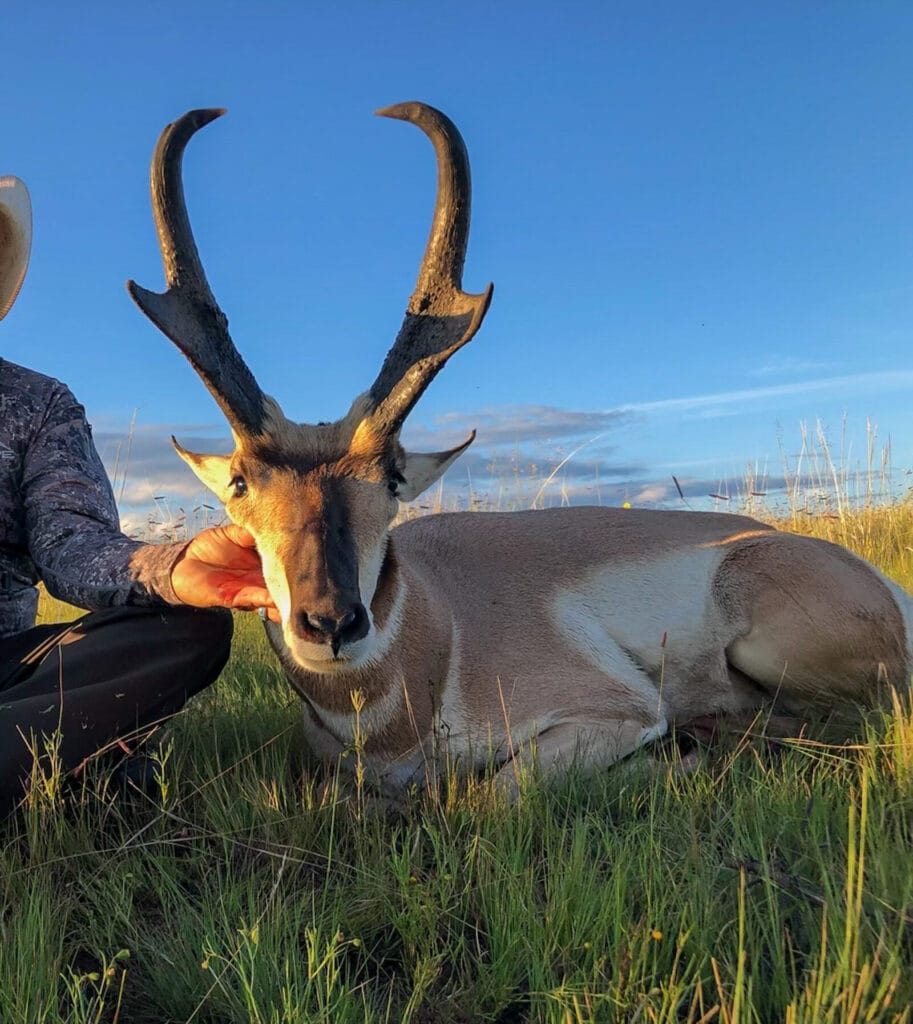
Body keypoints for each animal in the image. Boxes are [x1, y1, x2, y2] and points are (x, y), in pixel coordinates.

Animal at [127, 104, 913, 795]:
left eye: (392, 477)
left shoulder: (609, 713)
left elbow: (486, 795)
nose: (330, 623)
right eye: (240, 481)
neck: (440, 626)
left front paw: (670, 760)